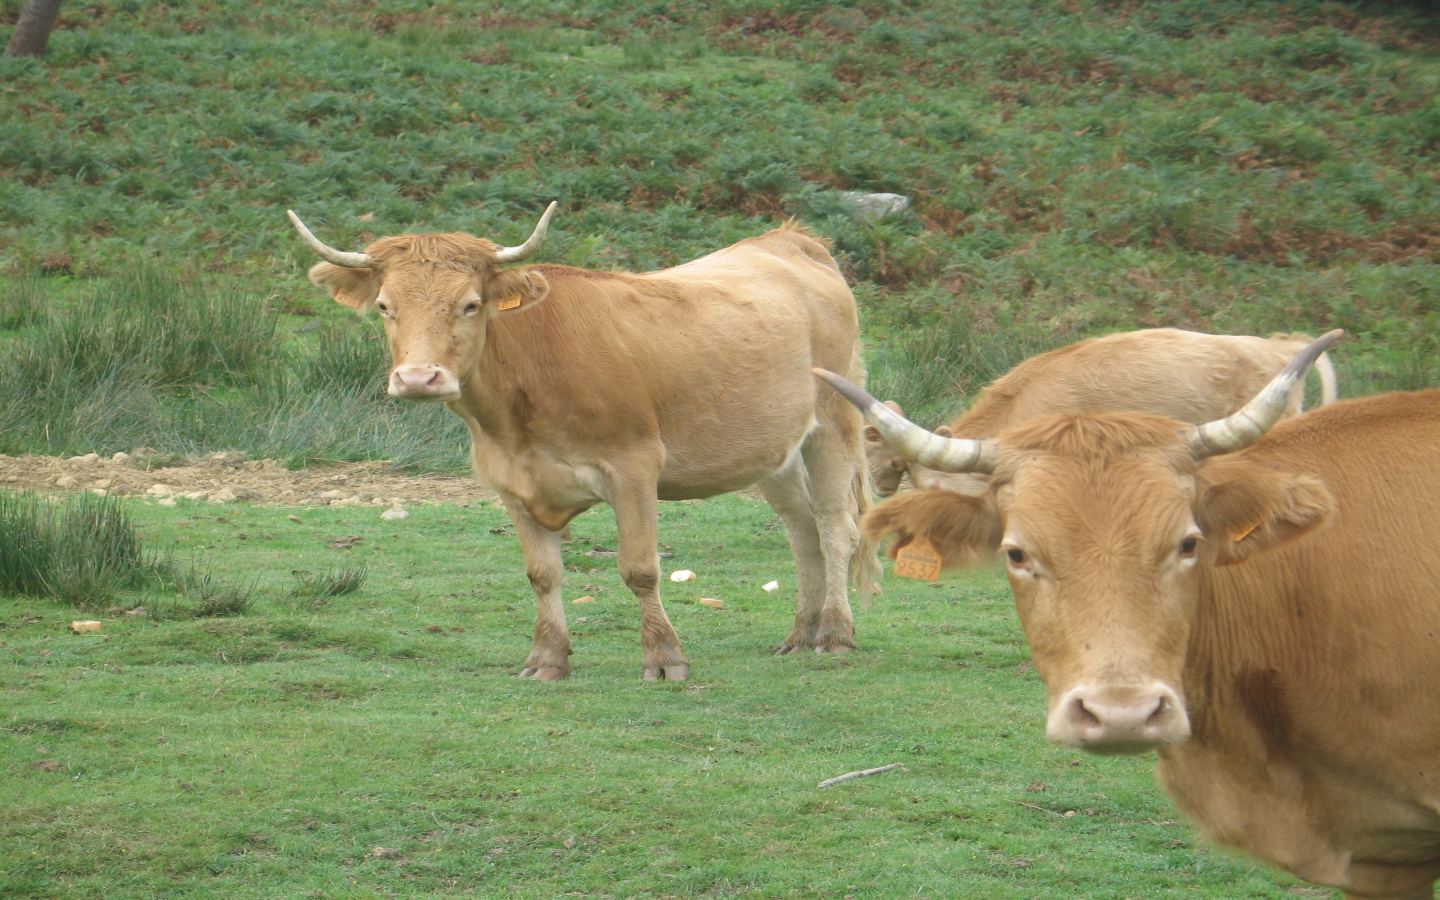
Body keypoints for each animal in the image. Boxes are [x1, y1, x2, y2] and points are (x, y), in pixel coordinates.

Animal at [288, 203, 880, 681]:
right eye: (385, 306)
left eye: (471, 304)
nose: (418, 378)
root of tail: (787, 240)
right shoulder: (508, 480)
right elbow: (542, 574)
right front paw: (547, 659)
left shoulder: (635, 466)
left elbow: (640, 568)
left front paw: (664, 659)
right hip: (774, 448)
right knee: (802, 530)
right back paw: (800, 634)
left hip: (834, 424)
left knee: (835, 527)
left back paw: (834, 634)